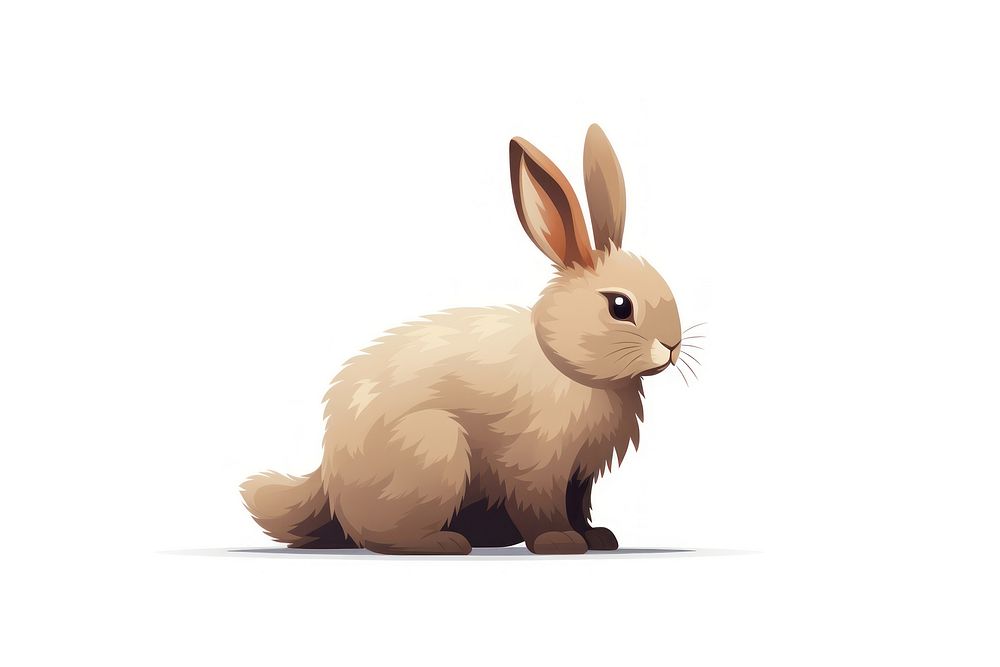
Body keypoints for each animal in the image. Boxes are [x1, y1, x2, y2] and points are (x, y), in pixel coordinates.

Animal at [241, 124, 686, 554]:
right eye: (619, 306)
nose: (672, 347)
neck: (566, 366)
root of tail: (329, 479)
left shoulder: (580, 476)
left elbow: (578, 508)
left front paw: (598, 539)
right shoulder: (535, 465)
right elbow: (542, 508)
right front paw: (559, 543)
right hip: (436, 451)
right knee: (378, 537)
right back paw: (443, 543)